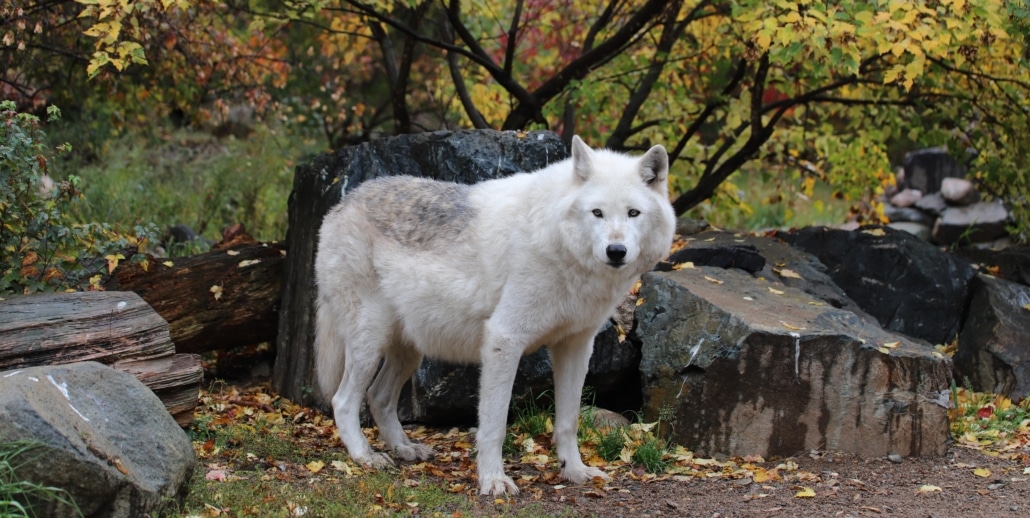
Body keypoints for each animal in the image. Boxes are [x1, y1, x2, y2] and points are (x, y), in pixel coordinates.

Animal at [314, 135, 676, 495]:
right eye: (597, 213)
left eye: (633, 213)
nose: (616, 251)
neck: (559, 243)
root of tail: (342, 204)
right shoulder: (503, 339)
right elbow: (494, 424)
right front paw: (493, 480)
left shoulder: (575, 346)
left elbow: (568, 420)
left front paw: (573, 470)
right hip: (370, 342)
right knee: (343, 401)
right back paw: (366, 456)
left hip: (408, 352)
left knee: (378, 398)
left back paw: (405, 448)